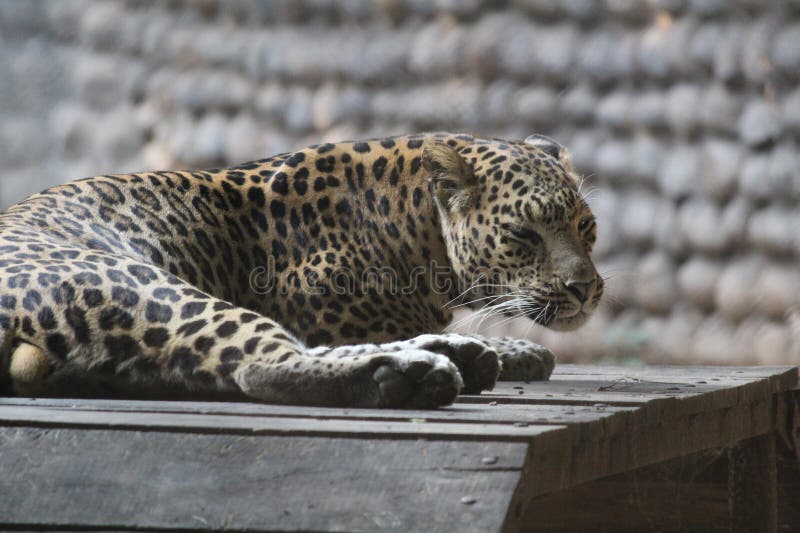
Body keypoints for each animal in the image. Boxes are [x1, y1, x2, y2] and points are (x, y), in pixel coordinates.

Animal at [0, 132, 602, 408]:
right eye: (525, 234)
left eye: (586, 226)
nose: (586, 289)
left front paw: (514, 348)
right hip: (143, 283)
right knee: (258, 364)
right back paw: (413, 372)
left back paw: (460, 354)